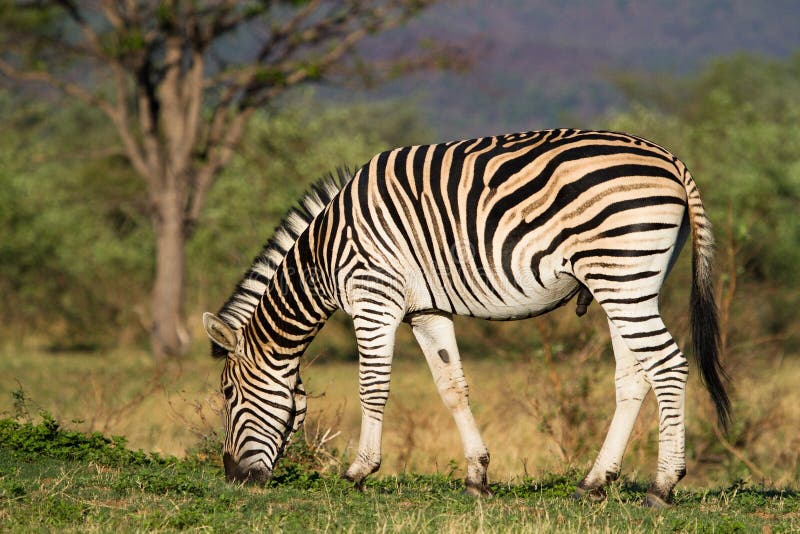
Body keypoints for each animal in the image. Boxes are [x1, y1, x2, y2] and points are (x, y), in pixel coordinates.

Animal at [203, 128, 730, 507]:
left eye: (227, 393)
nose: (234, 480)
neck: (325, 256)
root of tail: (671, 160)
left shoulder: (375, 298)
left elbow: (372, 386)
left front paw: (359, 471)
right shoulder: (425, 310)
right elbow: (451, 386)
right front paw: (478, 475)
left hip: (621, 275)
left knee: (669, 367)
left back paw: (662, 487)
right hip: (629, 283)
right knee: (634, 376)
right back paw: (594, 482)